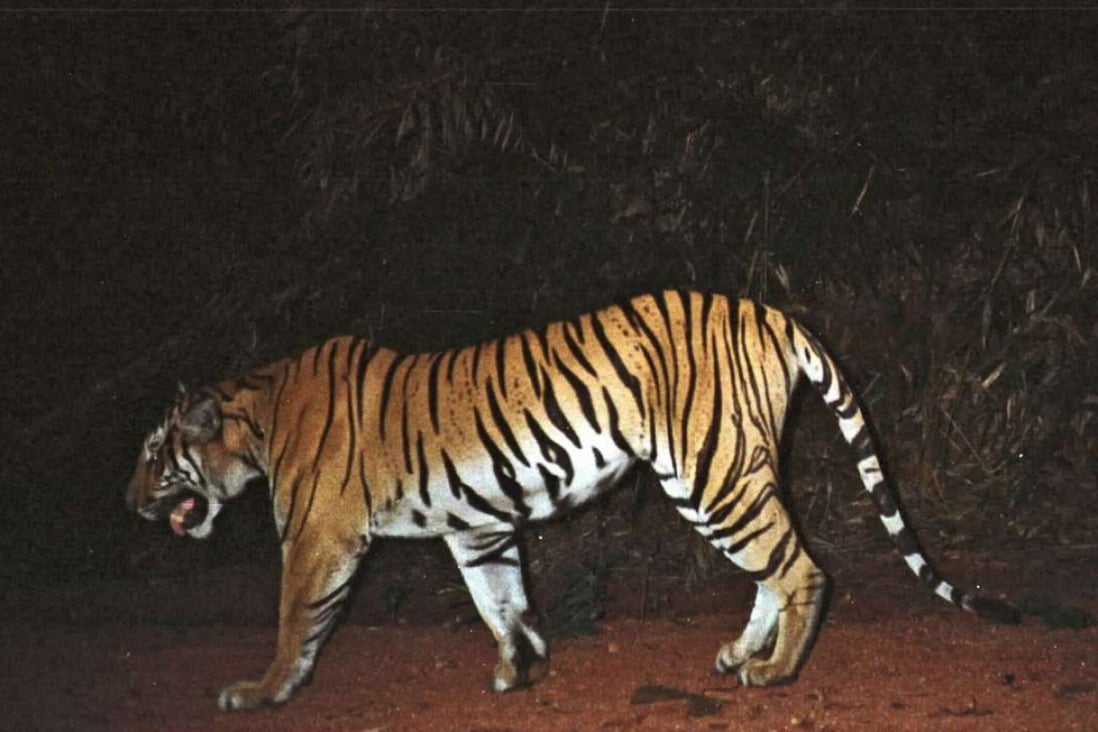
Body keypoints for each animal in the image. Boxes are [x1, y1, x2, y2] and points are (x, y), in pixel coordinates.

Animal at [126, 290, 1018, 711]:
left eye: (150, 455)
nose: (128, 500)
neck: (257, 416)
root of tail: (767, 310)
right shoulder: (478, 527)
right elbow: (500, 599)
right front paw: (519, 669)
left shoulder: (318, 536)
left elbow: (294, 622)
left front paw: (262, 691)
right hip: (719, 478)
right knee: (774, 566)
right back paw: (741, 655)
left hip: (713, 472)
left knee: (802, 570)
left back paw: (775, 673)